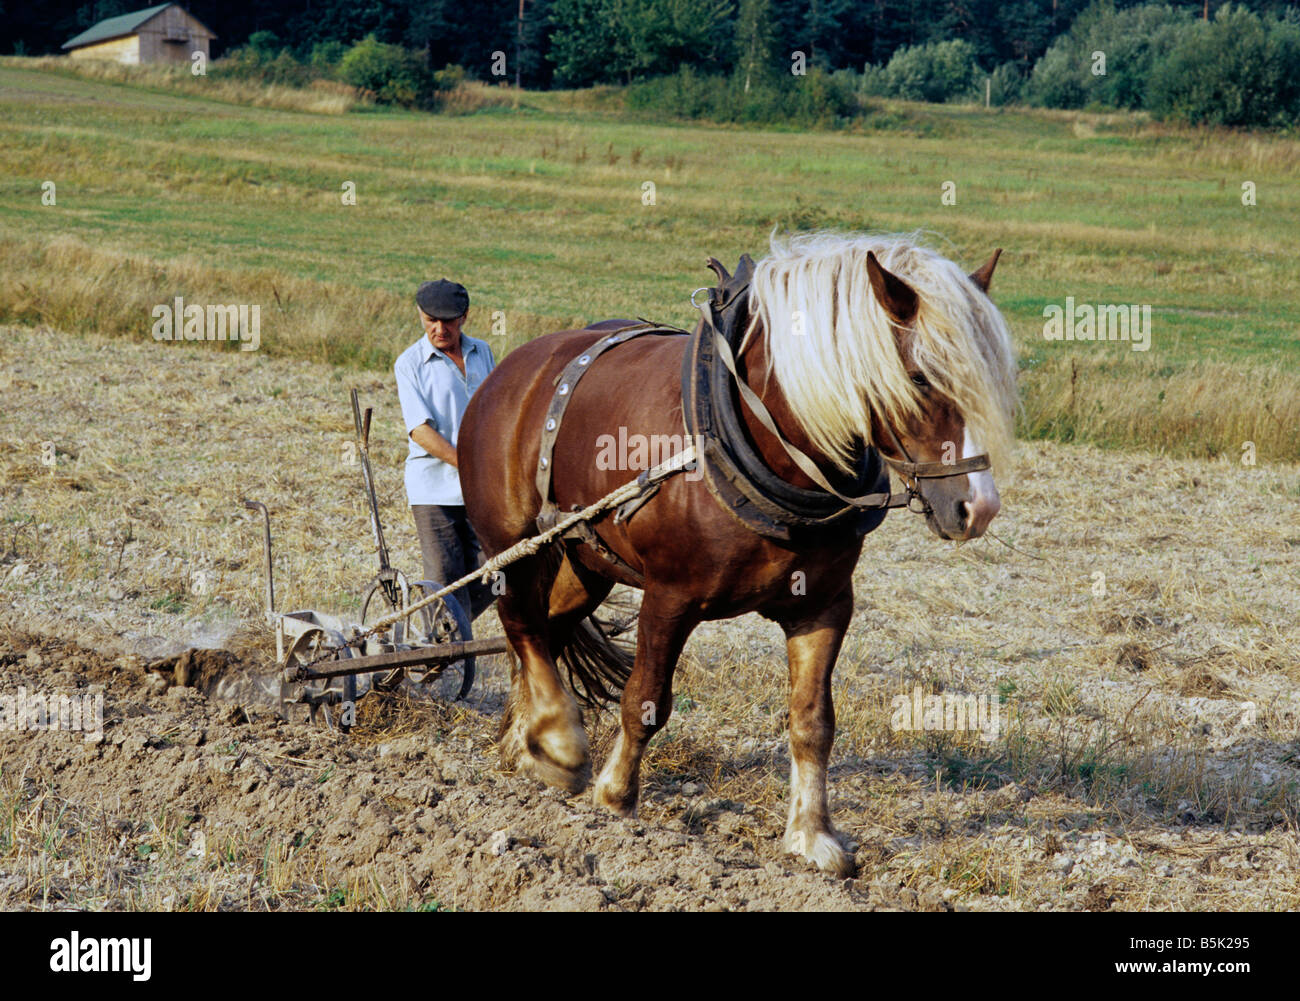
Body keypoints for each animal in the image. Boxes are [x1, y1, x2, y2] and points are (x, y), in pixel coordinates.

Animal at [458, 232, 1018, 877]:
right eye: (922, 377)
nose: (978, 508)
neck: (759, 441)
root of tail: (511, 368)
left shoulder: (824, 605)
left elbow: (813, 720)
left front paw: (812, 836)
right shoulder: (669, 597)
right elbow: (646, 700)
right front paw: (615, 796)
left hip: (584, 561)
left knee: (545, 633)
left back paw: (524, 743)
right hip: (510, 544)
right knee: (522, 623)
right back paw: (558, 739)